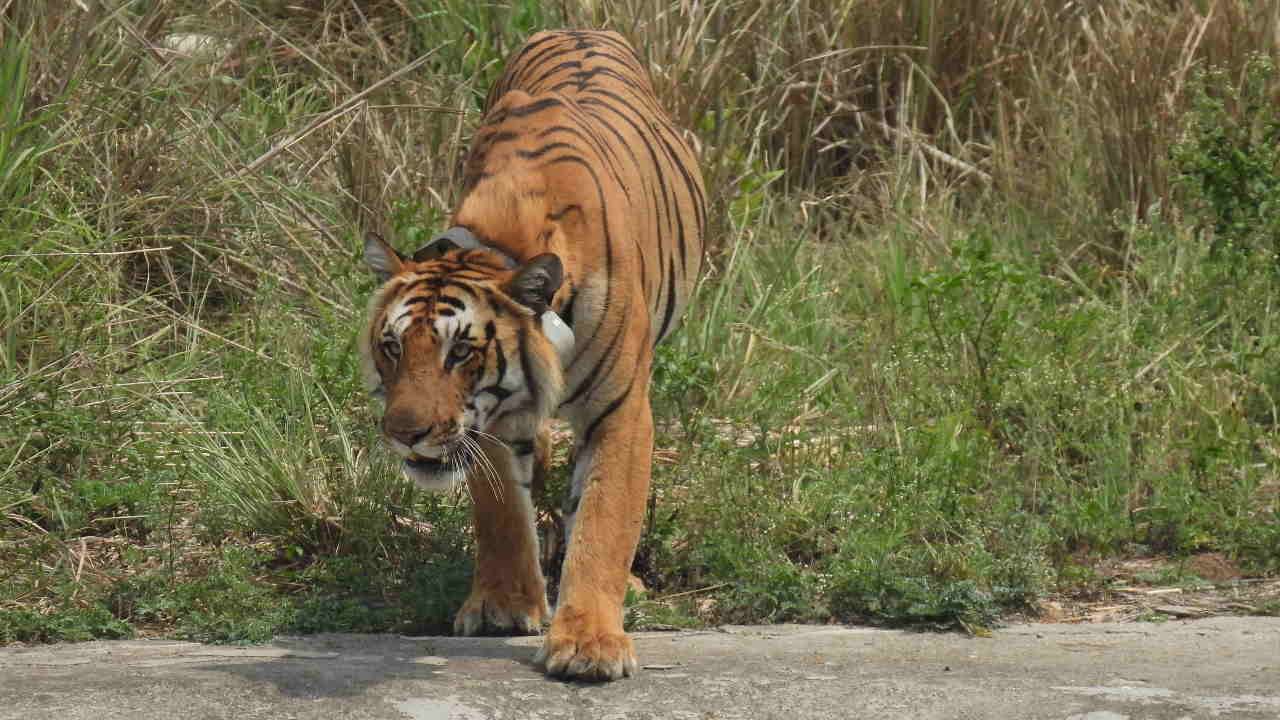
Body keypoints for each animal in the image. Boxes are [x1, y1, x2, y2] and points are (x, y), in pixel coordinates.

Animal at [359, 30, 706, 682]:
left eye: (460, 352)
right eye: (393, 348)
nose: (404, 434)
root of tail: (581, 29)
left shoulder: (622, 410)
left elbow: (604, 520)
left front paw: (590, 643)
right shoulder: (490, 419)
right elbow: (499, 511)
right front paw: (503, 605)